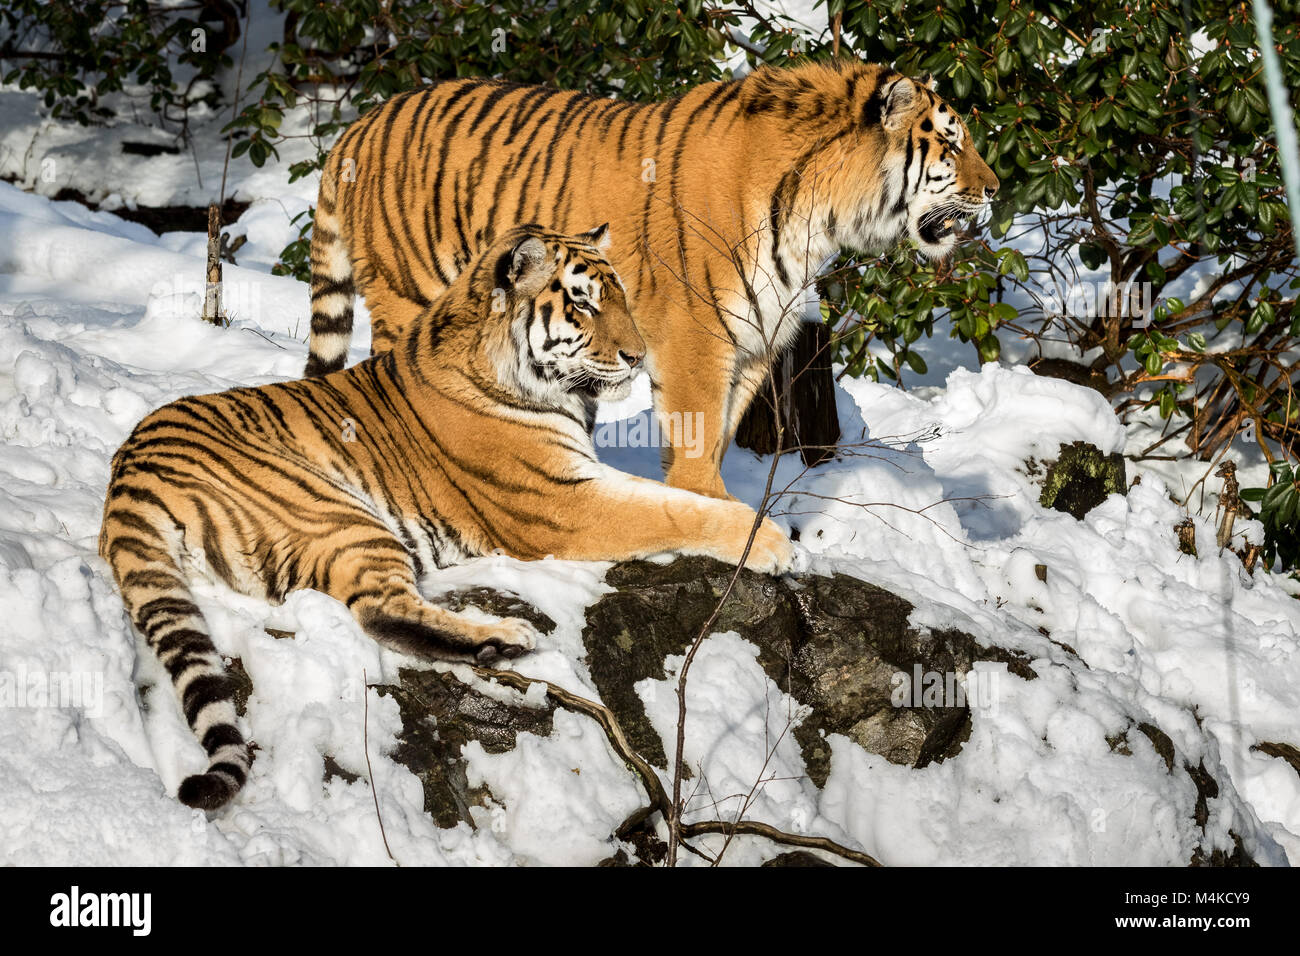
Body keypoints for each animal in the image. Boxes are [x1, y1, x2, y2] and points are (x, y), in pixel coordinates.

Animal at [100, 224, 793, 811]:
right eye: (584, 304)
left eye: (621, 296)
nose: (637, 357)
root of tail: (128, 475)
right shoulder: (564, 503)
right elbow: (673, 508)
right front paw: (773, 541)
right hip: (342, 513)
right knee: (379, 611)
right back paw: (506, 637)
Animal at [303, 59, 1000, 500]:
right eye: (951, 142)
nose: (995, 189)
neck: (820, 221)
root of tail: (358, 124)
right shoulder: (696, 336)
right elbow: (698, 437)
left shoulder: (753, 340)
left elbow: (716, 436)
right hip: (410, 295)